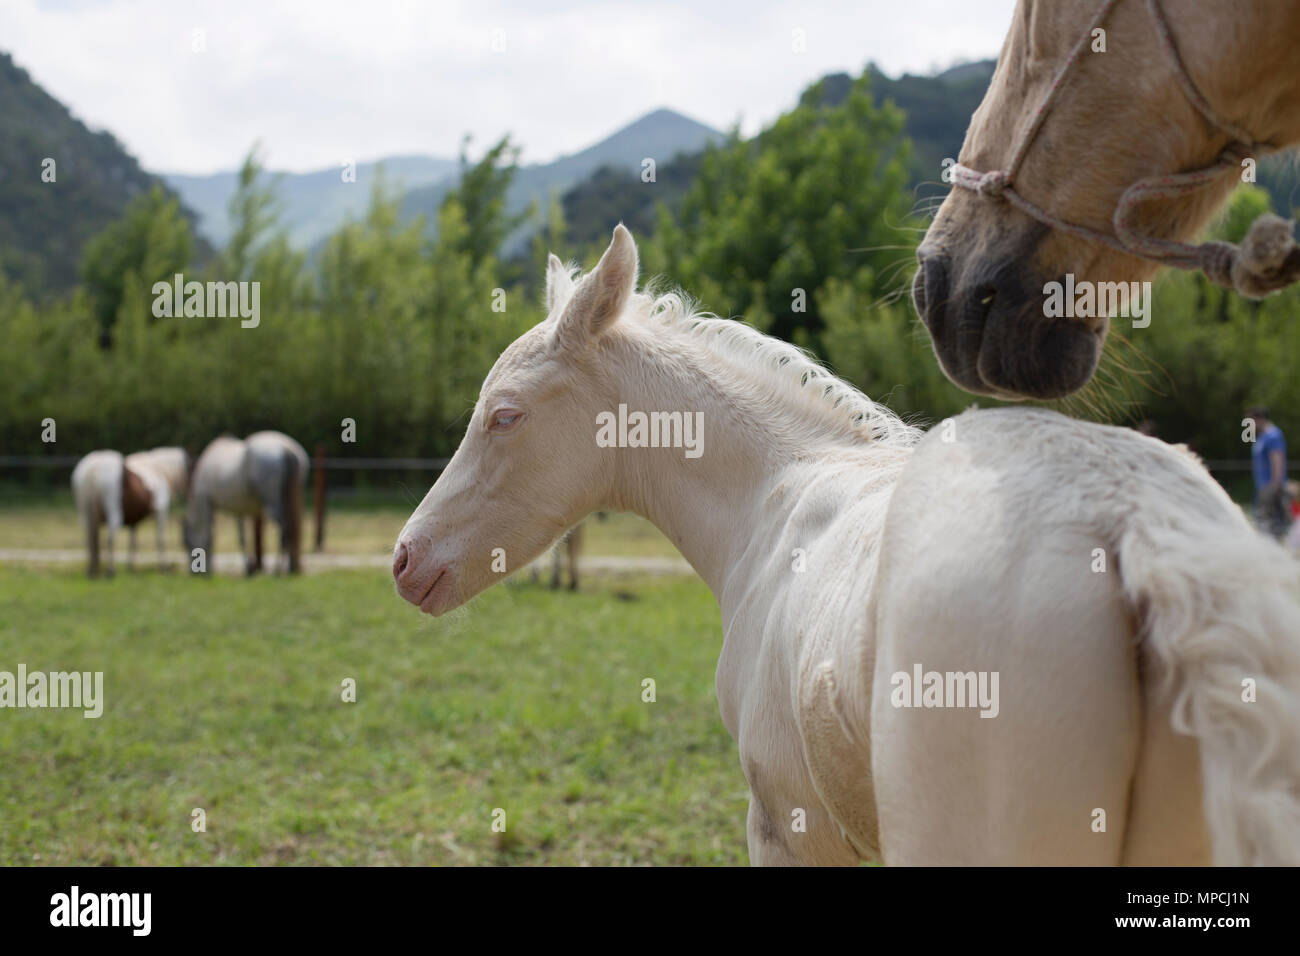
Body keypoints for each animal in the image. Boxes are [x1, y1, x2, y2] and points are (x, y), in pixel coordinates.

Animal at [71, 447, 189, 577]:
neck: (159, 469)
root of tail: (93, 468)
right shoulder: (161, 510)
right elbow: (160, 539)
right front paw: (164, 567)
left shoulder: (134, 519)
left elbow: (133, 542)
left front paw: (131, 567)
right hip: (114, 514)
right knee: (110, 539)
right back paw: (110, 570)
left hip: (85, 516)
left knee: (89, 540)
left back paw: (92, 571)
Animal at [184, 431, 307, 575]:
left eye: (187, 543)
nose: (193, 572)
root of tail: (286, 449)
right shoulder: (238, 509)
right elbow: (241, 538)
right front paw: (249, 568)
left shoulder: (207, 502)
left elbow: (209, 536)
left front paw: (210, 570)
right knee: (291, 531)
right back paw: (289, 569)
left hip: (272, 502)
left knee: (284, 531)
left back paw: (277, 571)